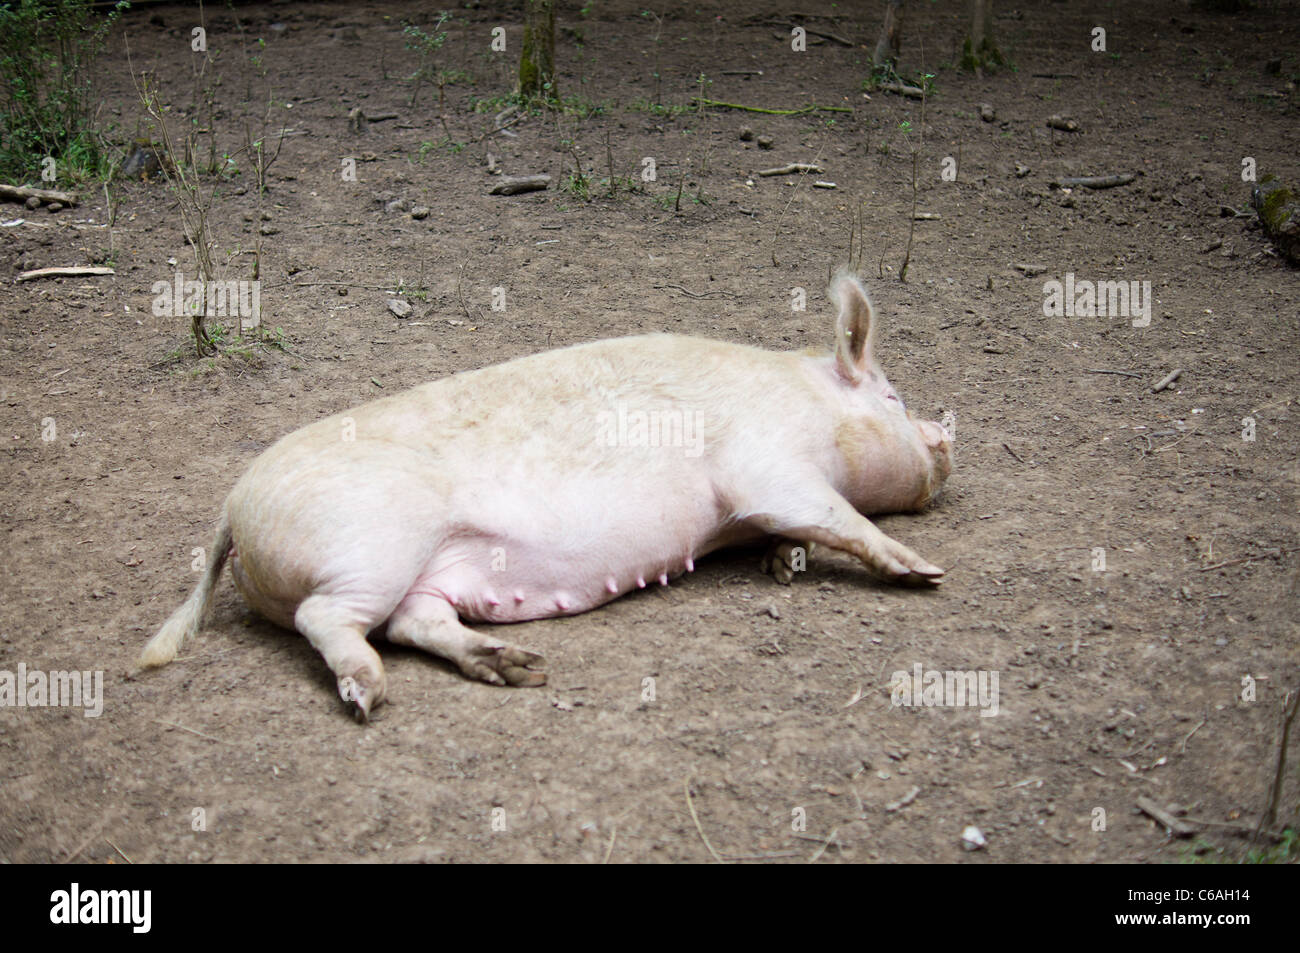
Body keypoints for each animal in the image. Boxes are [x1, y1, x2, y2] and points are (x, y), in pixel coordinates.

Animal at [139, 271, 956, 717]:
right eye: (893, 396)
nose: (947, 438)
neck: (810, 406)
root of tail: (233, 506)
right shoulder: (769, 466)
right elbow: (835, 516)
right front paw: (928, 573)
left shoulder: (753, 506)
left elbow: (792, 531)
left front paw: (780, 565)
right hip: (371, 548)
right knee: (331, 618)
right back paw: (371, 697)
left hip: (420, 572)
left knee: (414, 623)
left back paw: (518, 667)